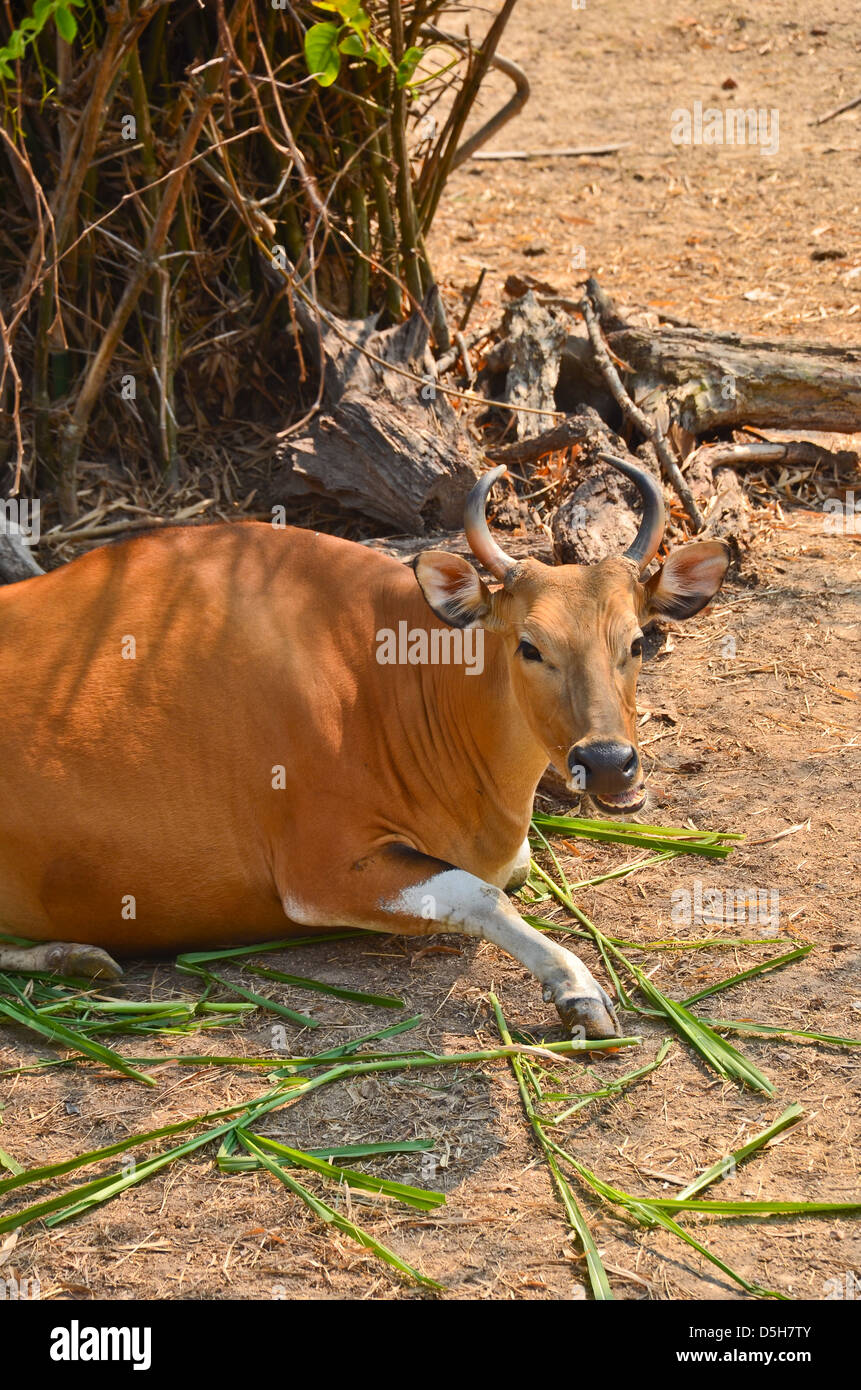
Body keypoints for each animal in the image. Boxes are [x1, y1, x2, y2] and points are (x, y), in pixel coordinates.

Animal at [0, 456, 728, 1038]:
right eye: (529, 646)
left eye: (637, 641)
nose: (607, 765)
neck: (382, 688)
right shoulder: (320, 871)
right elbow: (482, 894)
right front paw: (574, 987)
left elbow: (510, 871)